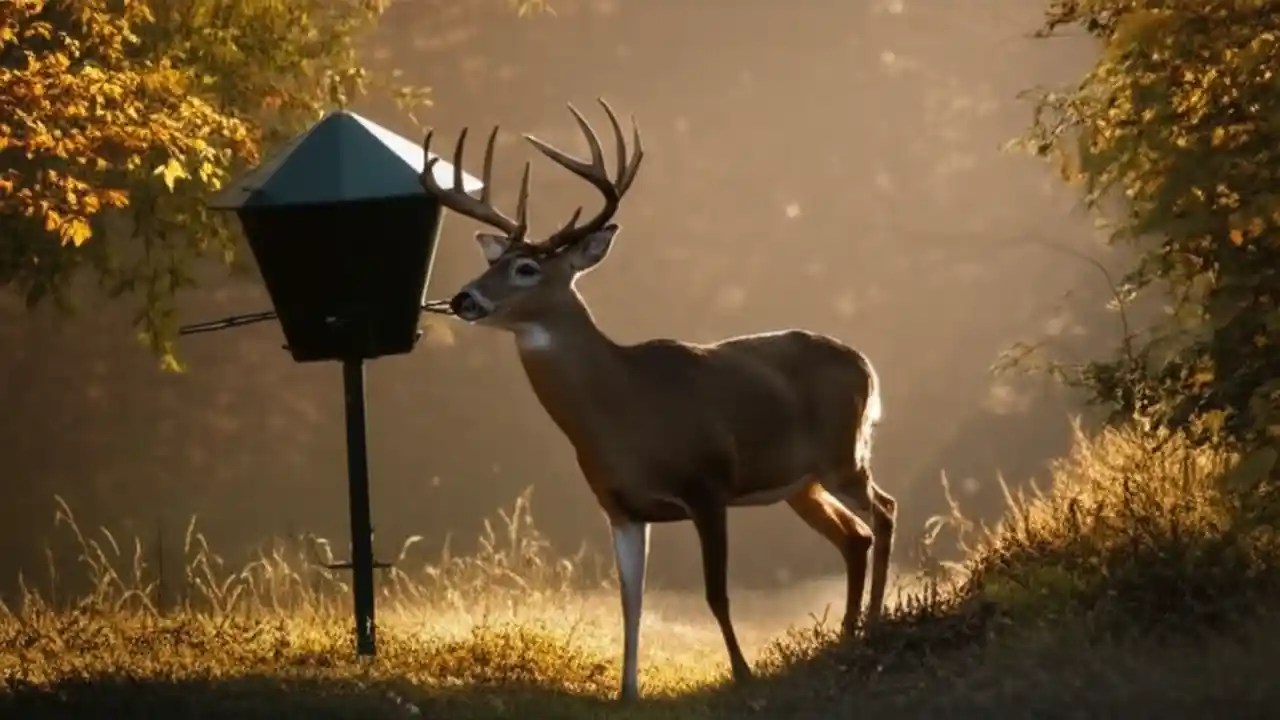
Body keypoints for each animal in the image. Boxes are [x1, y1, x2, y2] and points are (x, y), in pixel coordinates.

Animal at [419, 99, 896, 702]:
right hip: (801, 483)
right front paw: (627, 692)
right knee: (855, 536)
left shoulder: (707, 484)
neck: (625, 411)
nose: (464, 298)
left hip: (842, 455)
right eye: (491, 262)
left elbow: (716, 593)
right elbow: (631, 603)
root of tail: (866, 364)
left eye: (526, 268)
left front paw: (743, 675)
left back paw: (873, 624)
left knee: (884, 512)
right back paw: (847, 633)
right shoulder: (620, 507)